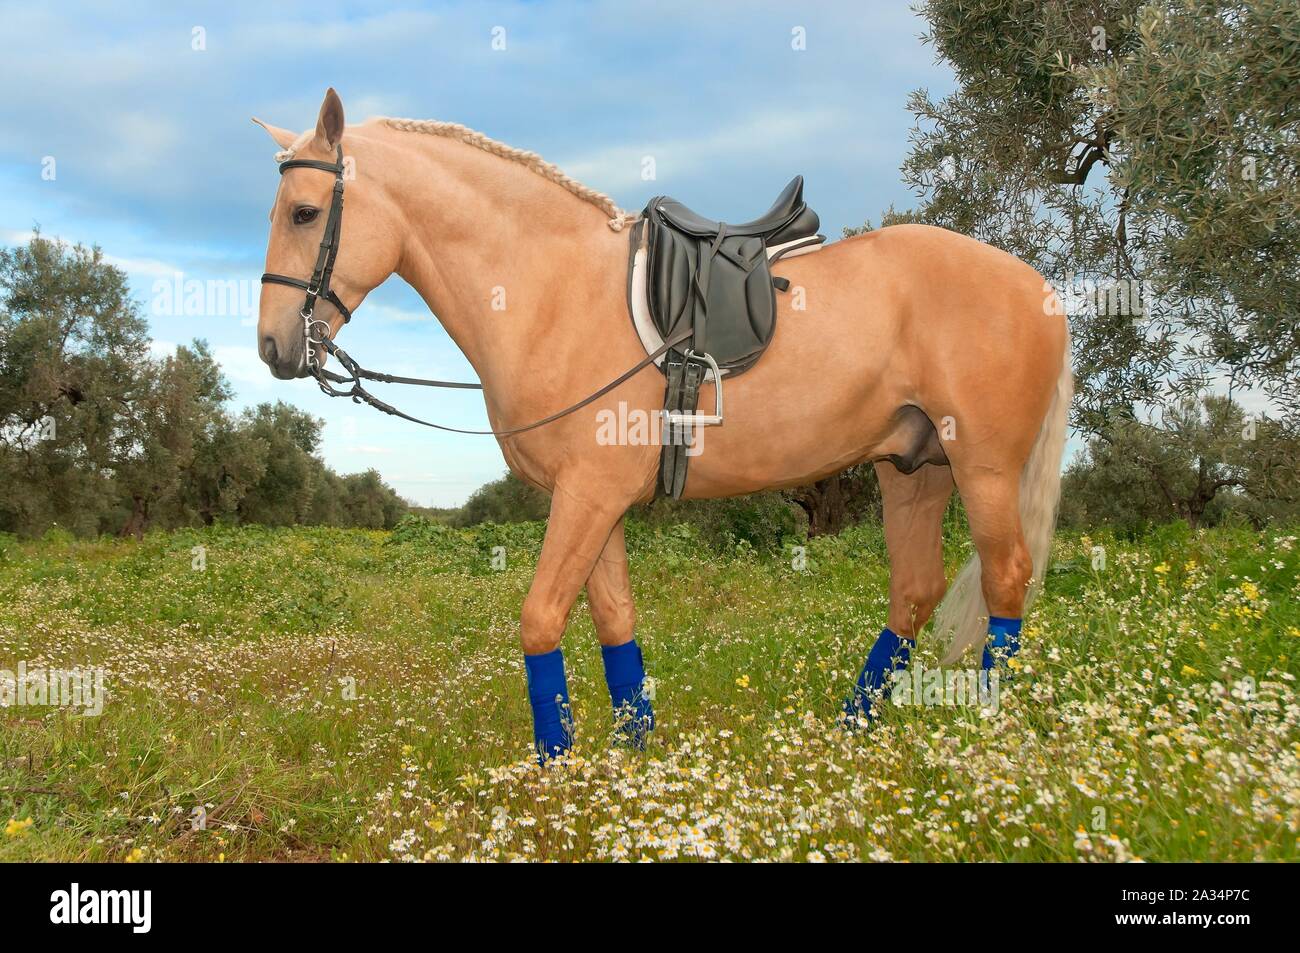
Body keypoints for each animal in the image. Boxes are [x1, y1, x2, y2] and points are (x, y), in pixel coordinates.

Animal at [254, 89, 1071, 760]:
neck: (550, 289)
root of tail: (1037, 286)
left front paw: (554, 775)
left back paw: (989, 739)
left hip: (982, 468)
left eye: (303, 212)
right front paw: (633, 762)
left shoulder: (588, 495)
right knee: (915, 592)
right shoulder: (597, 499)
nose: (272, 346)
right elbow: (616, 624)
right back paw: (846, 734)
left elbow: (541, 620)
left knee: (1005, 581)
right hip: (913, 468)